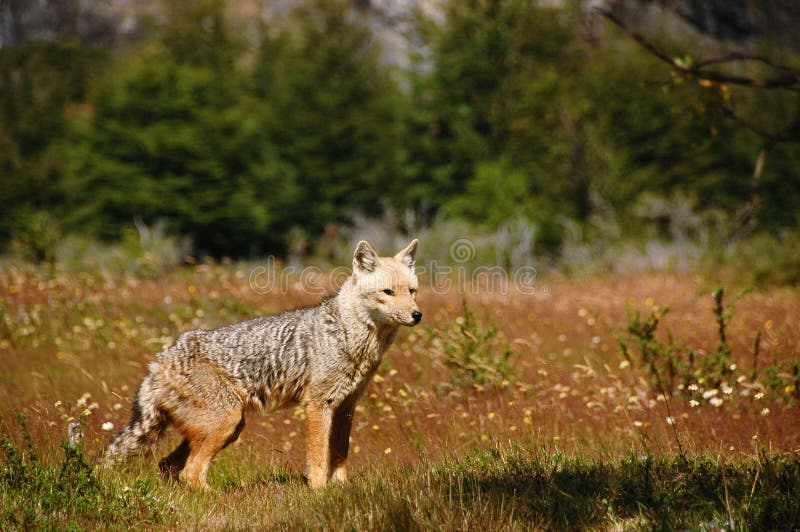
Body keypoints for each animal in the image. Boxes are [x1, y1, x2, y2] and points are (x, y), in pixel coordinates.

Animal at [102, 239, 421, 490]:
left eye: (412, 291)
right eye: (388, 292)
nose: (417, 315)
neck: (351, 337)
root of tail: (160, 360)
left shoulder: (347, 406)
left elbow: (340, 454)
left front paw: (342, 487)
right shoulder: (318, 405)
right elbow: (318, 458)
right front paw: (320, 491)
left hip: (228, 428)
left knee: (170, 467)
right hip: (227, 421)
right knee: (189, 473)